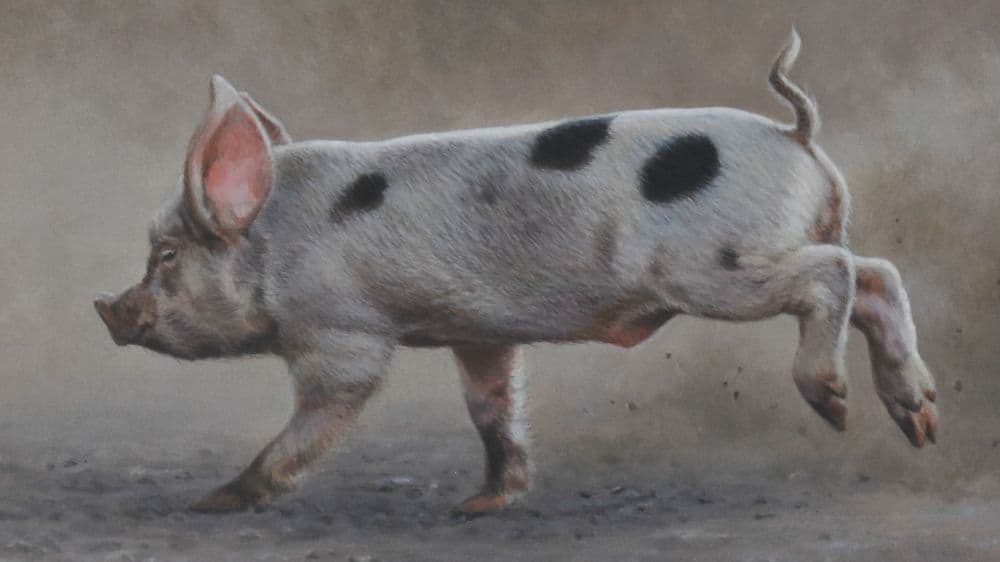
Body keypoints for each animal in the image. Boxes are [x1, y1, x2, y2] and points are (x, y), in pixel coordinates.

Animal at [95, 30, 939, 515]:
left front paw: (216, 500)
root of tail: (797, 135)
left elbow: (330, 406)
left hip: (715, 268)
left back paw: (835, 406)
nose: (107, 308)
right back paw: (922, 422)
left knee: (837, 272)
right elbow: (490, 405)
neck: (275, 240)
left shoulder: (341, 330)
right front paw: (482, 505)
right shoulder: (479, 331)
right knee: (880, 274)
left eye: (166, 256)